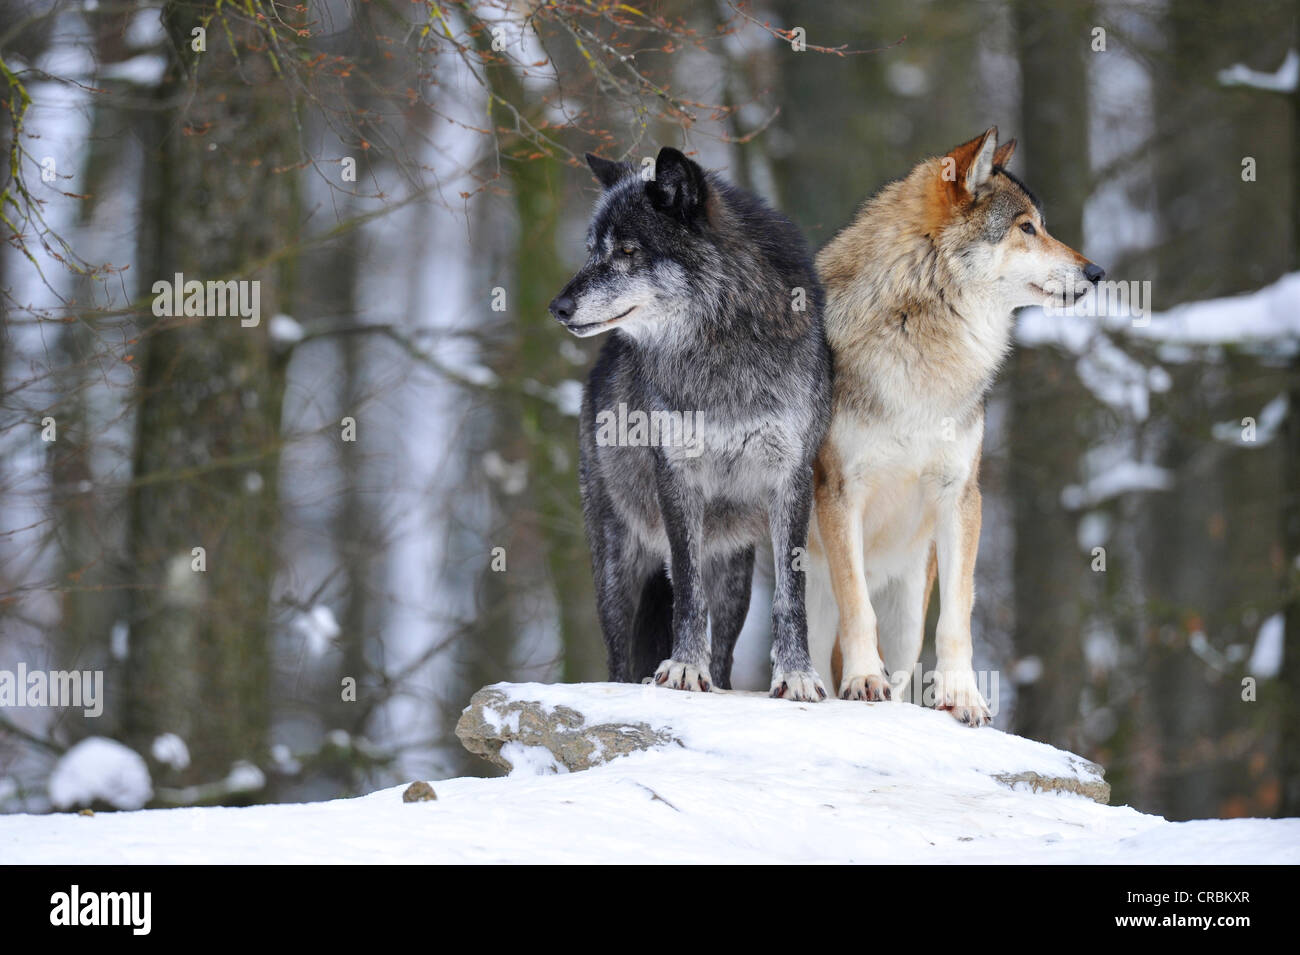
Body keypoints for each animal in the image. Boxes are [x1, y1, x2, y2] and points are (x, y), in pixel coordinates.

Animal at [549, 146, 832, 699]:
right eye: (592, 250)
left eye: (629, 250)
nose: (558, 307)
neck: (720, 347)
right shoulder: (676, 476)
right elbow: (686, 586)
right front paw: (682, 668)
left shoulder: (792, 477)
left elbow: (791, 595)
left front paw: (797, 676)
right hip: (617, 564)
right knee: (618, 659)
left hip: (734, 575)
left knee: (724, 656)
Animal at [805, 127, 1104, 725]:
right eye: (1027, 227)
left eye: (1042, 225)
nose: (1096, 273)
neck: (923, 338)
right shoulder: (840, 492)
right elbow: (856, 606)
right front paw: (863, 679)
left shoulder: (961, 494)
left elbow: (957, 618)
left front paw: (962, 695)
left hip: (908, 602)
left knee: (903, 666)